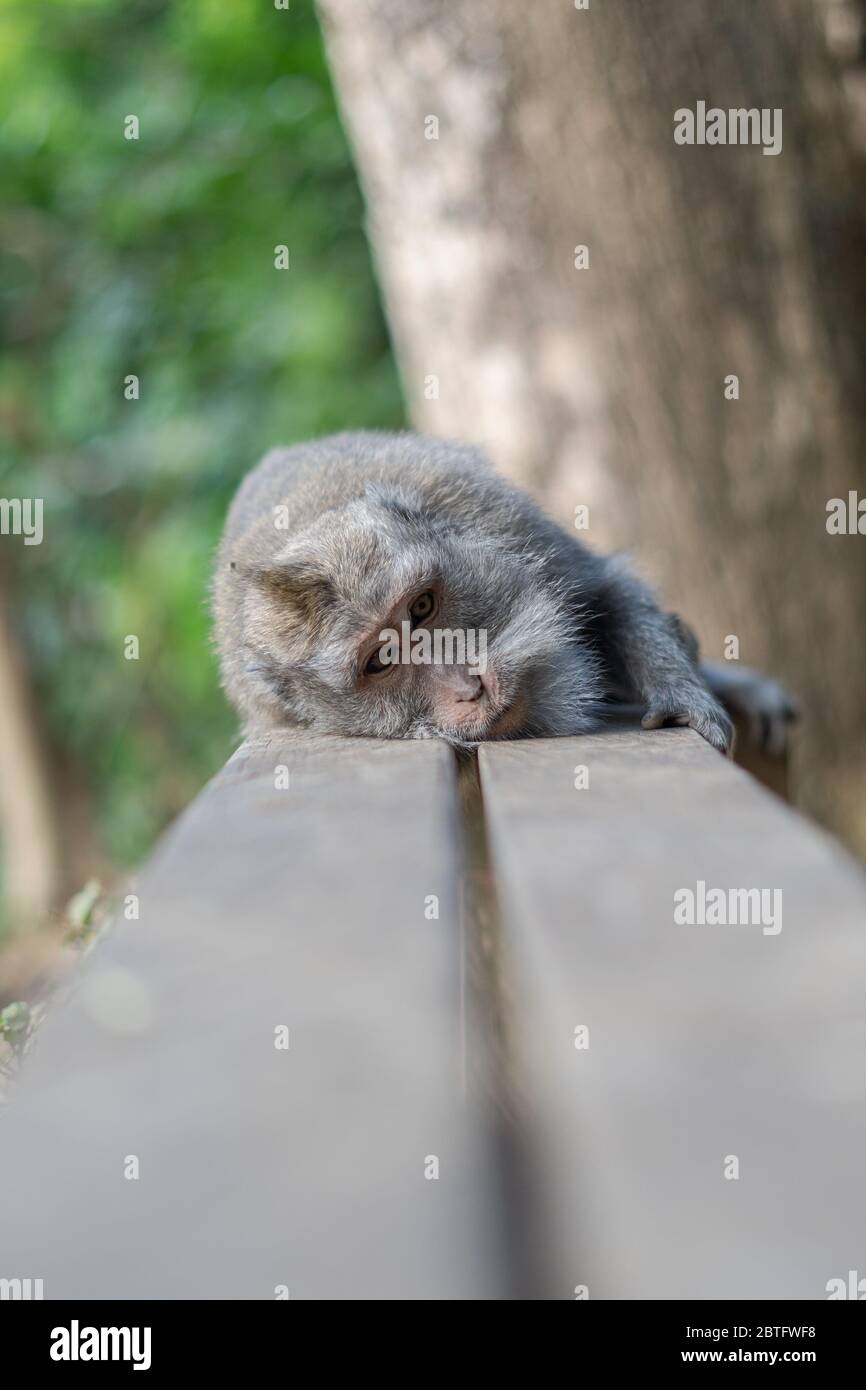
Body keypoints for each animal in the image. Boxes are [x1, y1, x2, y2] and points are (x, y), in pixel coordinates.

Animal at [213, 431, 797, 754]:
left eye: (422, 607)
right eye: (380, 660)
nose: (470, 685)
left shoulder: (496, 518)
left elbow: (606, 589)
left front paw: (683, 698)